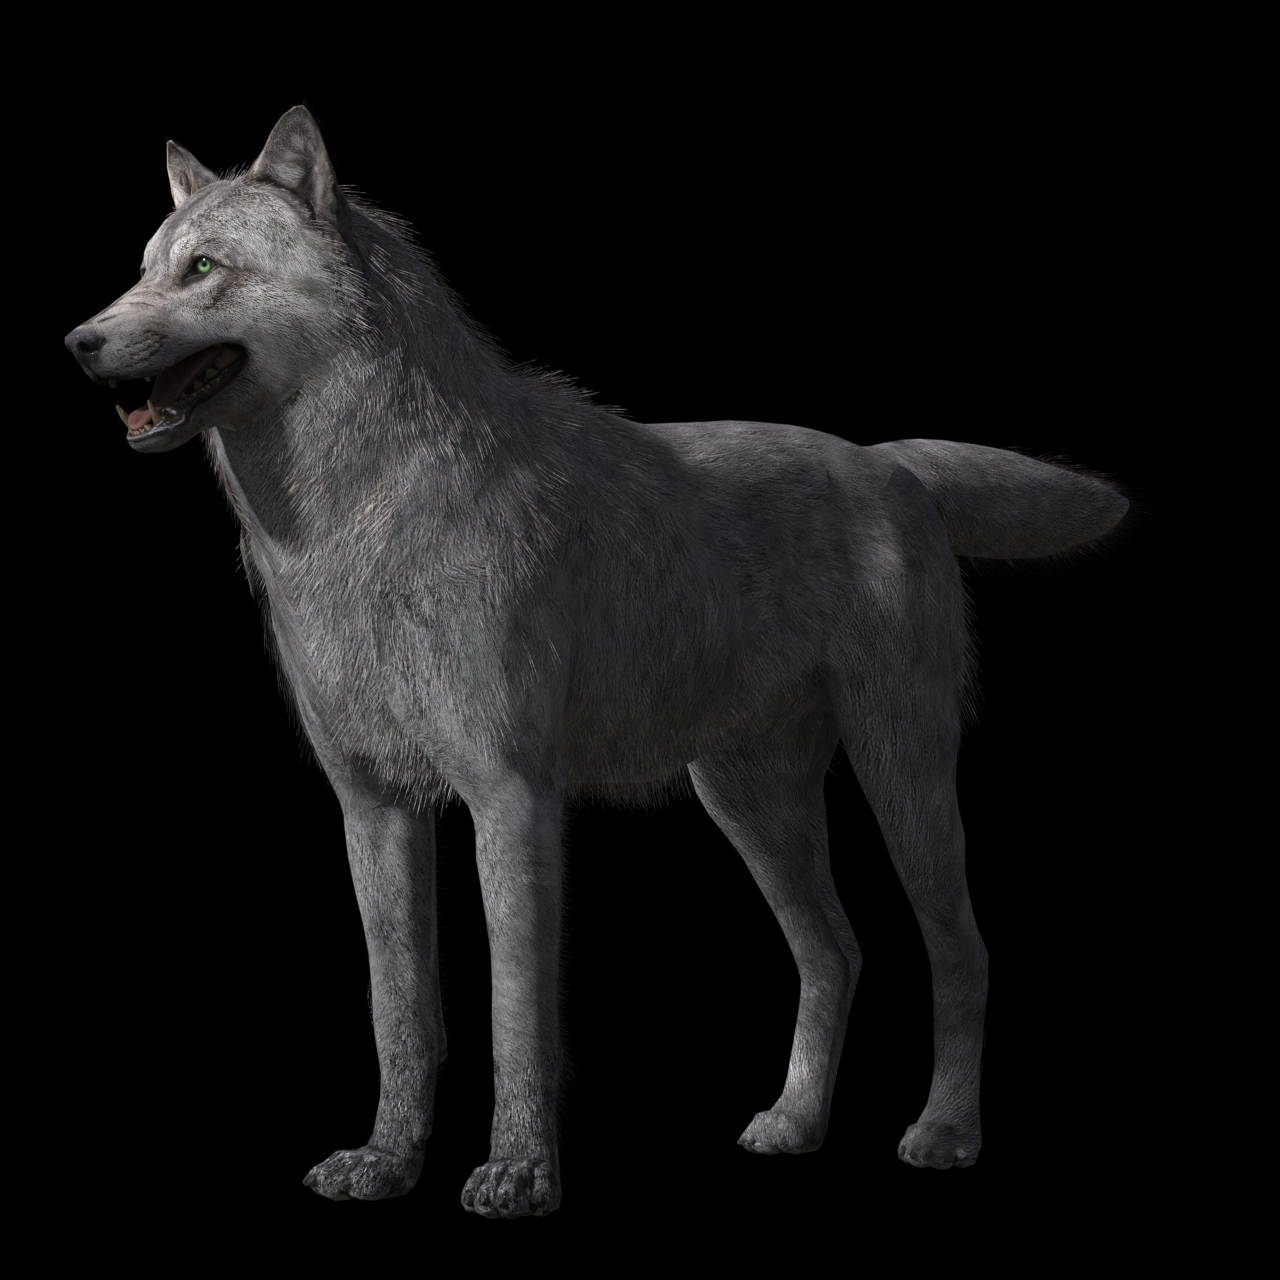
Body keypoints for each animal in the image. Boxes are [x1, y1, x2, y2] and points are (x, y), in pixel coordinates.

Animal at [65, 106, 1130, 1217]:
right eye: (140, 270)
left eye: (204, 268)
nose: (77, 341)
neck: (356, 523)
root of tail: (888, 465)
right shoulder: (372, 807)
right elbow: (399, 1011)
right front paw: (385, 1161)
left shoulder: (510, 798)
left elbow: (514, 1014)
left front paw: (518, 1173)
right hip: (748, 804)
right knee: (834, 950)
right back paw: (792, 1124)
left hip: (900, 777)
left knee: (961, 949)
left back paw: (945, 1132)